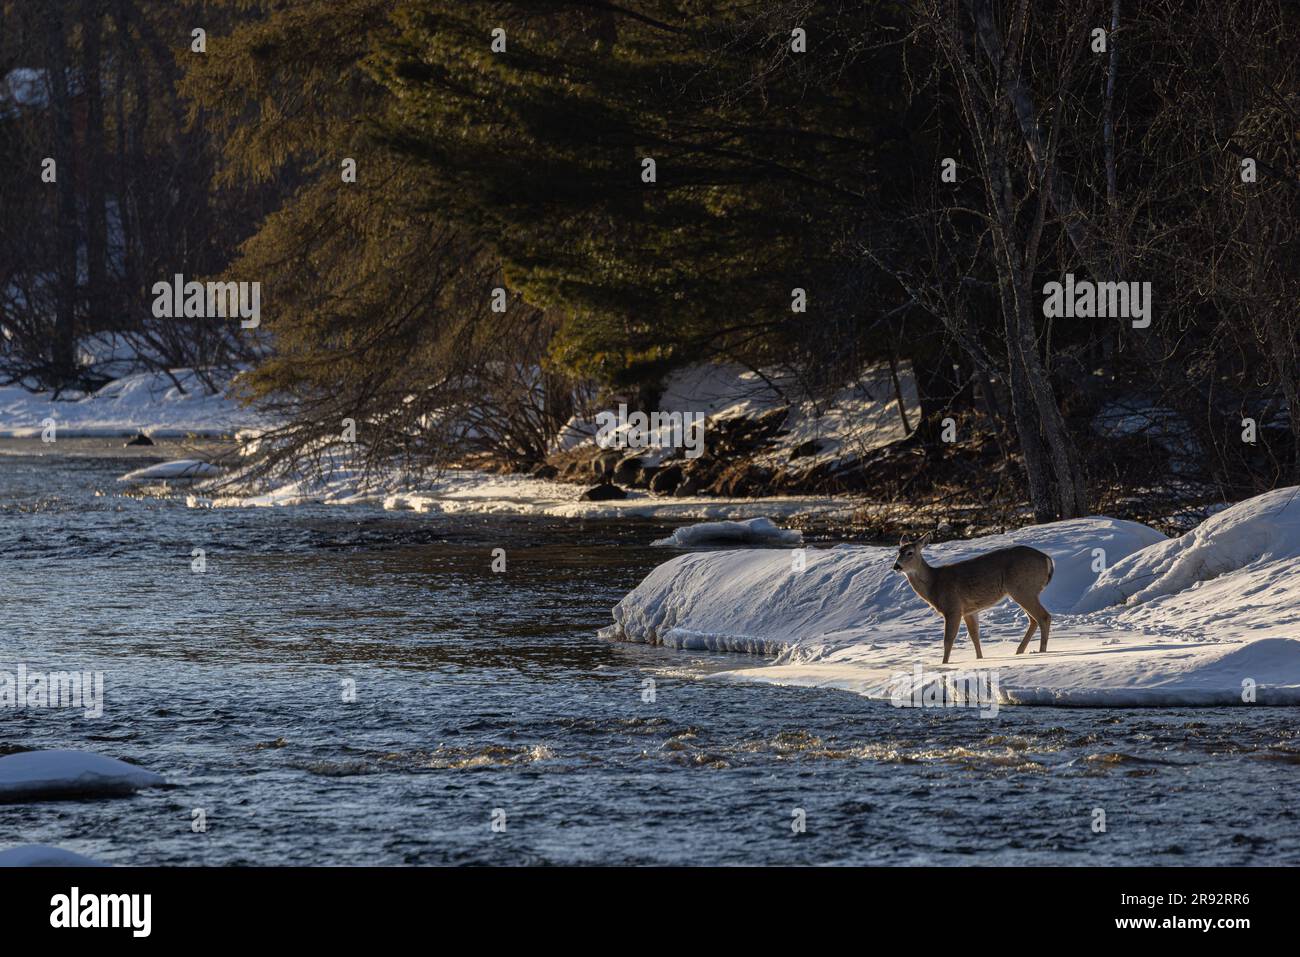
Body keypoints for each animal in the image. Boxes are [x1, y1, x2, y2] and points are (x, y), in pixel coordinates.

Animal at [891, 534, 1055, 664]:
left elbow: (948, 640)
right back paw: (1019, 651)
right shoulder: (969, 611)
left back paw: (1041, 652)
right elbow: (975, 636)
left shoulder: (953, 608)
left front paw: (944, 664)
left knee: (1043, 617)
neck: (934, 584)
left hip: (1023, 588)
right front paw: (979, 659)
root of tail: (1048, 559)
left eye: (910, 552)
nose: (896, 566)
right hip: (1023, 591)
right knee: (1033, 619)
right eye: (897, 552)